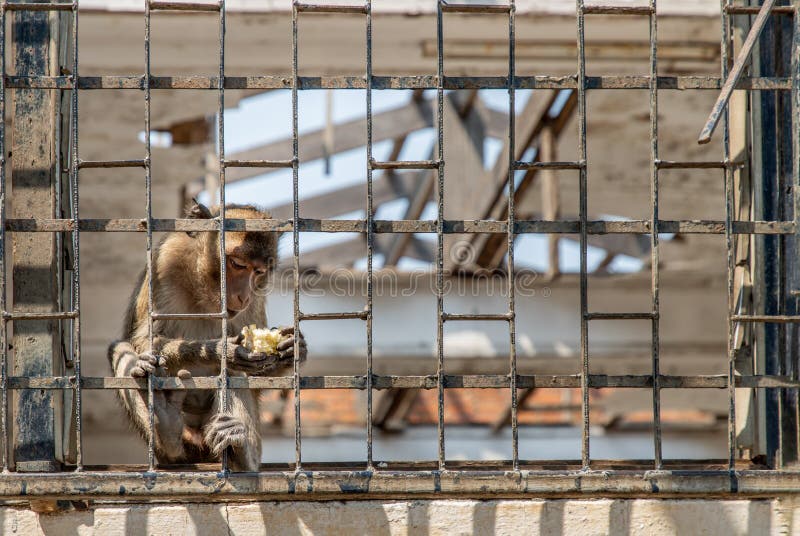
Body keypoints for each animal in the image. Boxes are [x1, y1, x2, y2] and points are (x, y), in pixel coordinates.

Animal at [108, 202, 306, 472]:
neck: (202, 289)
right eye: (238, 264)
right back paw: (167, 432)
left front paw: (292, 349)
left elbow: (259, 374)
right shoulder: (166, 261)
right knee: (122, 351)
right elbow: (143, 339)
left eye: (259, 271)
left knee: (235, 376)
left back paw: (242, 454)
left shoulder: (256, 298)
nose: (243, 296)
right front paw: (220, 350)